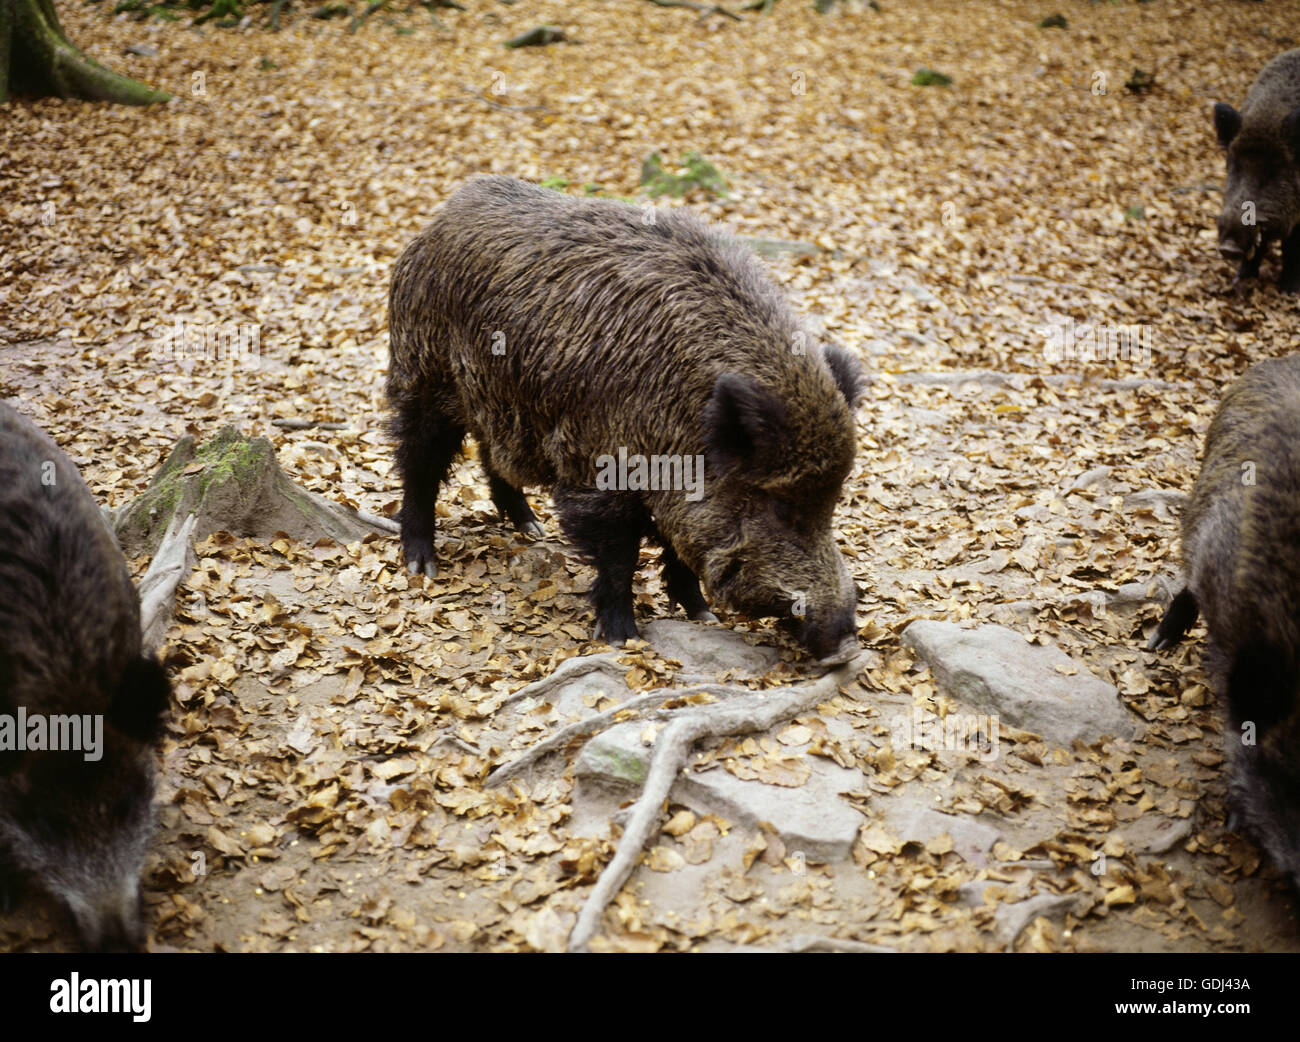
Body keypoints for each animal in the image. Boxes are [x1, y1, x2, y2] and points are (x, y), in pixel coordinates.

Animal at [387, 176, 864, 659]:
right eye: (782, 507)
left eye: (833, 501)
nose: (846, 642)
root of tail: (447, 212)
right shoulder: (601, 470)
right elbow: (621, 555)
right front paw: (622, 637)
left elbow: (677, 545)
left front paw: (703, 615)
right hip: (423, 374)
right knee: (418, 459)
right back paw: (422, 564)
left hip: (500, 402)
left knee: (493, 455)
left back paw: (532, 528)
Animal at [1213, 49, 1300, 292]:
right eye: (1236, 165)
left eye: (1274, 171)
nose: (1228, 248)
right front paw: (1241, 279)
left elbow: (1292, 247)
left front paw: (1289, 292)